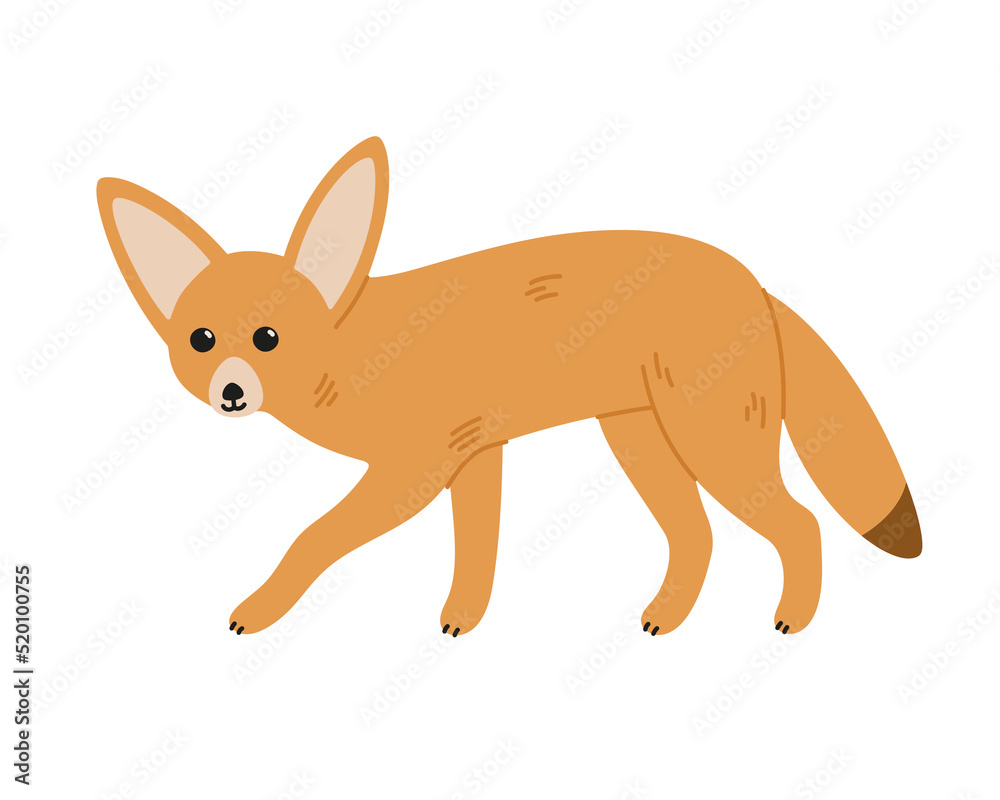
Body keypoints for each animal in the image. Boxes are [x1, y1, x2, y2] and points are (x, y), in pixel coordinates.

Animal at [97, 137, 921, 640]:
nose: (232, 393)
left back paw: (792, 620)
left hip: (709, 440)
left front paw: (260, 607)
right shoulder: (475, 456)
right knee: (698, 535)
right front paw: (464, 618)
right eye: (203, 342)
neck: (356, 353)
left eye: (268, 339)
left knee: (800, 523)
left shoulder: (415, 468)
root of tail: (753, 279)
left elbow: (315, 535)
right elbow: (478, 549)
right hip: (642, 442)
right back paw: (666, 617)